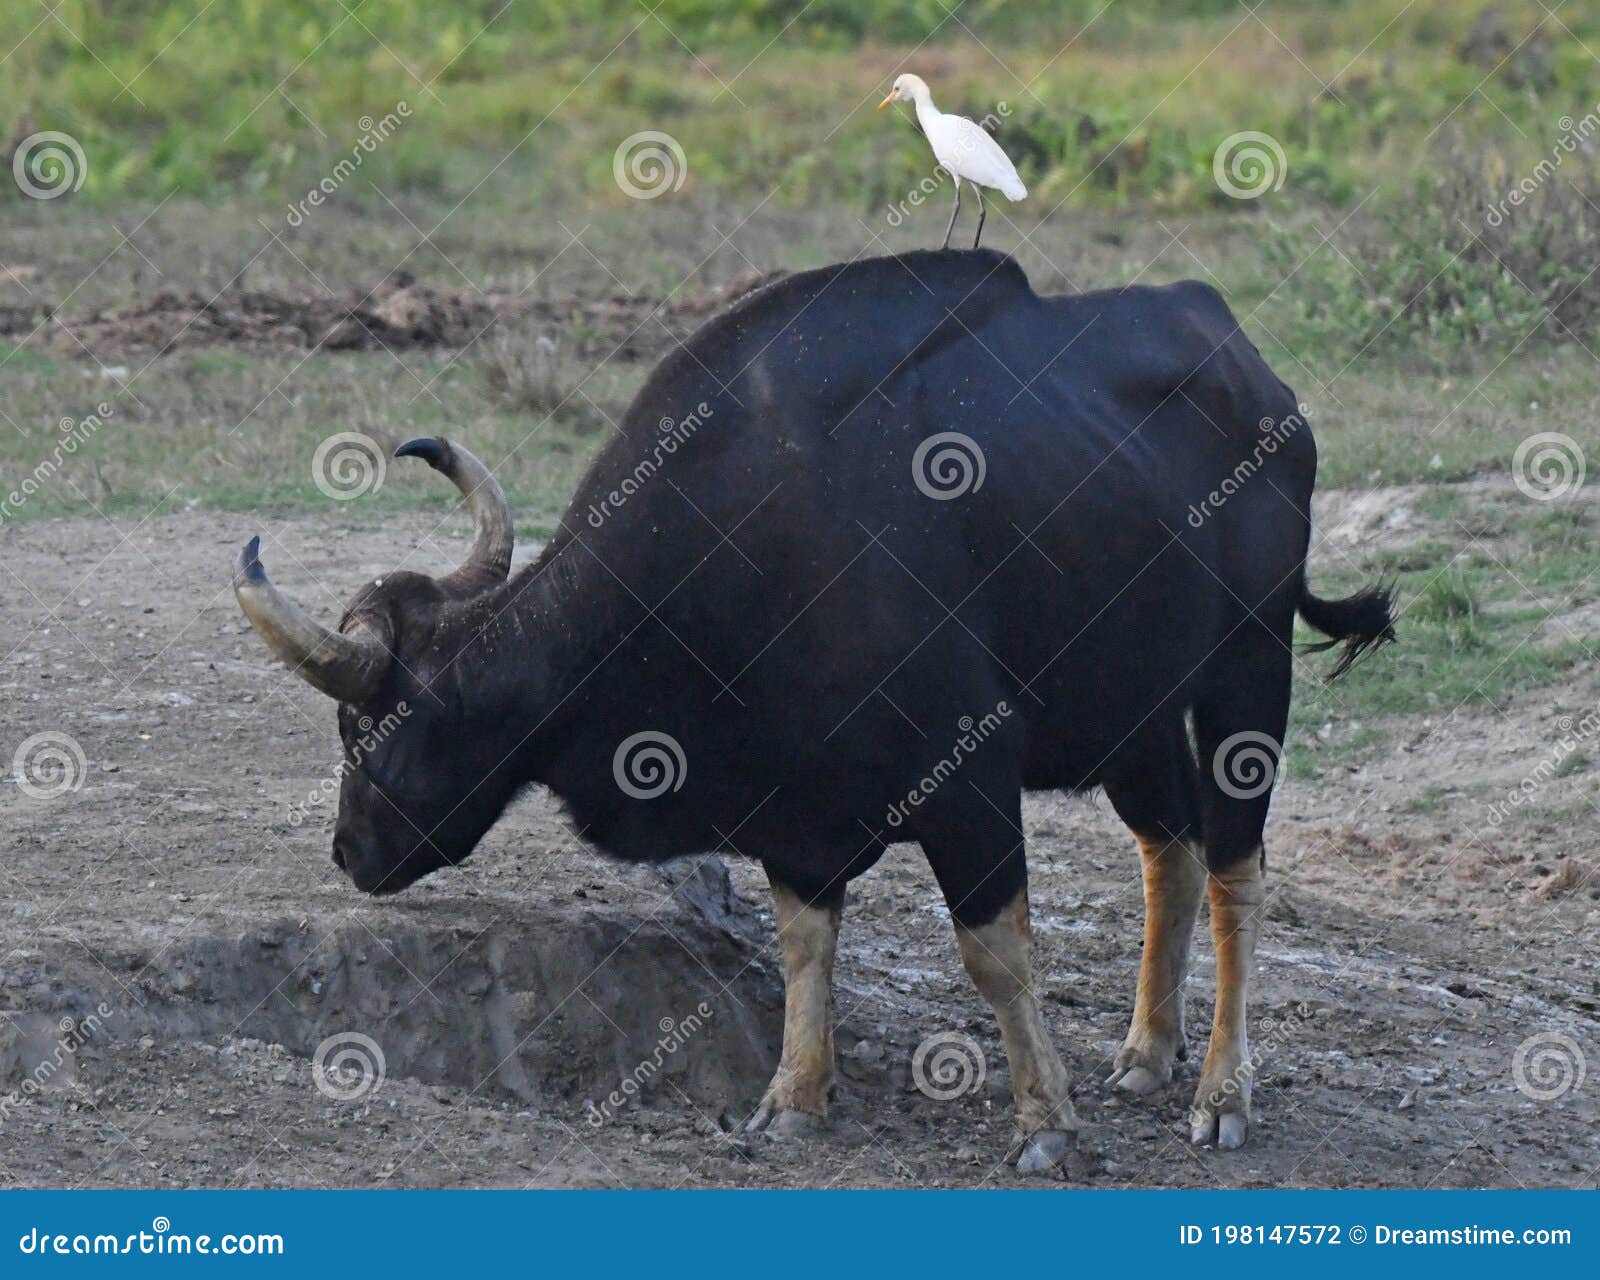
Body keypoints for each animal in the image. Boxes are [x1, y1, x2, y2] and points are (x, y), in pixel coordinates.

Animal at [234, 249, 1393, 1172]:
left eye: (367, 728)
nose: (348, 849)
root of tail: (1250, 368)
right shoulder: (793, 817)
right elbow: (804, 942)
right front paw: (793, 1096)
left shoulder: (969, 778)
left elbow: (996, 951)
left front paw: (1043, 1123)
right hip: (1135, 713)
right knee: (1172, 850)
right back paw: (1148, 1054)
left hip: (1248, 674)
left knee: (1237, 865)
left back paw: (1221, 1092)